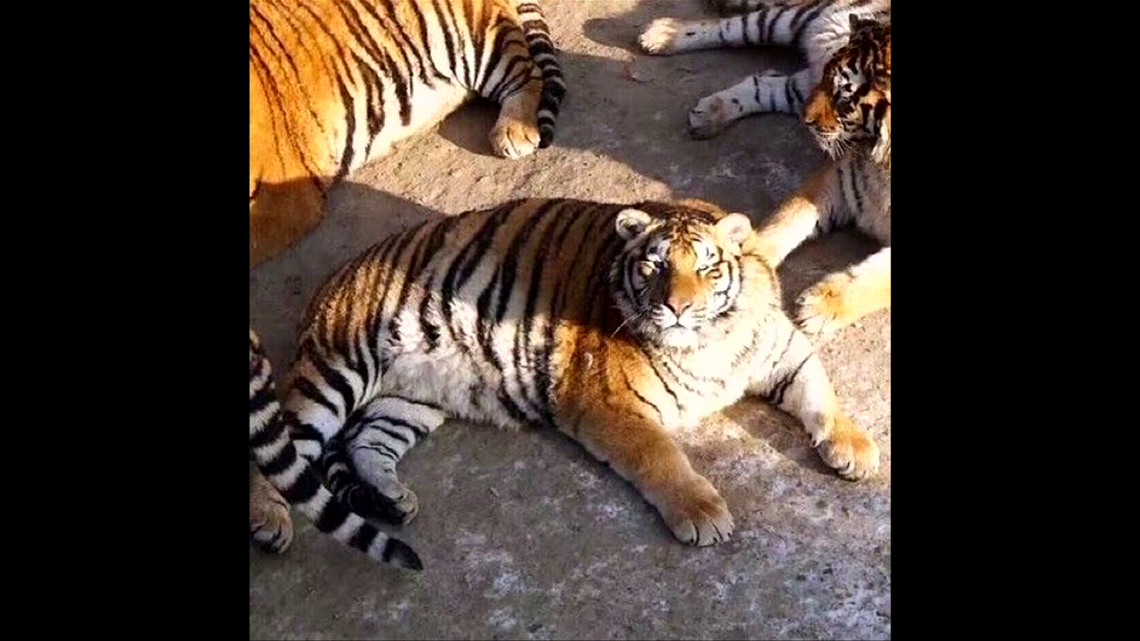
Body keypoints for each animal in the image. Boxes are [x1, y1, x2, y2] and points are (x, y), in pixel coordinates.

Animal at [274, 197, 880, 551]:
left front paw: (855, 448)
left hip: (412, 399)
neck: (710, 343)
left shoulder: (783, 350)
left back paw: (393, 498)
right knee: (284, 455)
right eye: (655, 265)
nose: (678, 308)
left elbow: (820, 391)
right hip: (336, 369)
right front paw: (702, 511)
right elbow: (660, 457)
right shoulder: (607, 403)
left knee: (366, 442)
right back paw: (273, 522)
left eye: (708, 268)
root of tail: (331, 280)